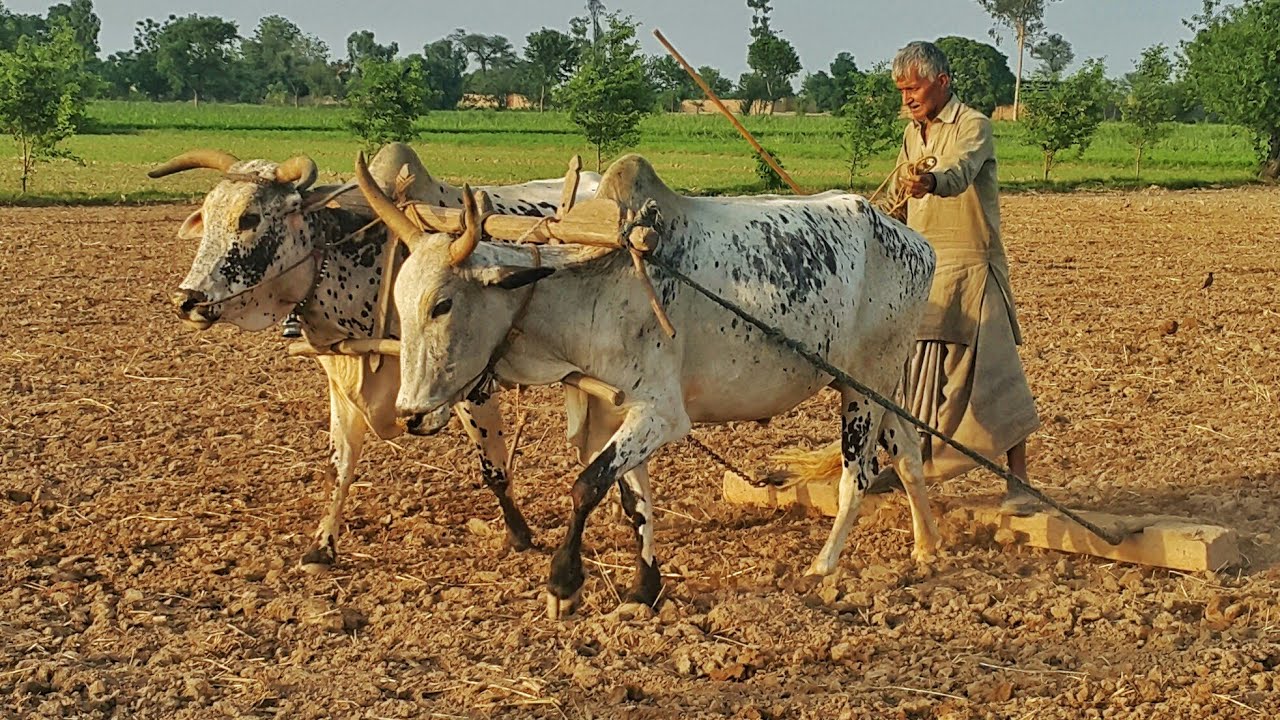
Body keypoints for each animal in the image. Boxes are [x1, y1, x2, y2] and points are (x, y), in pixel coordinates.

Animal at [155, 143, 602, 569]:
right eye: (207, 214)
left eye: (249, 218)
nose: (186, 299)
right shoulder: (341, 382)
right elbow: (339, 467)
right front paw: (322, 546)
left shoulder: (469, 386)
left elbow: (493, 468)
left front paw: (518, 535)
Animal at [354, 151, 942, 618]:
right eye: (400, 299)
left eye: (443, 304)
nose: (409, 414)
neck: (590, 286)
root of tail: (916, 241)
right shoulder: (615, 414)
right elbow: (632, 503)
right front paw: (643, 589)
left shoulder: (660, 415)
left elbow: (586, 486)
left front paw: (563, 584)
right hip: (880, 387)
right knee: (909, 455)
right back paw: (927, 549)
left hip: (863, 389)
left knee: (858, 475)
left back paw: (824, 565)